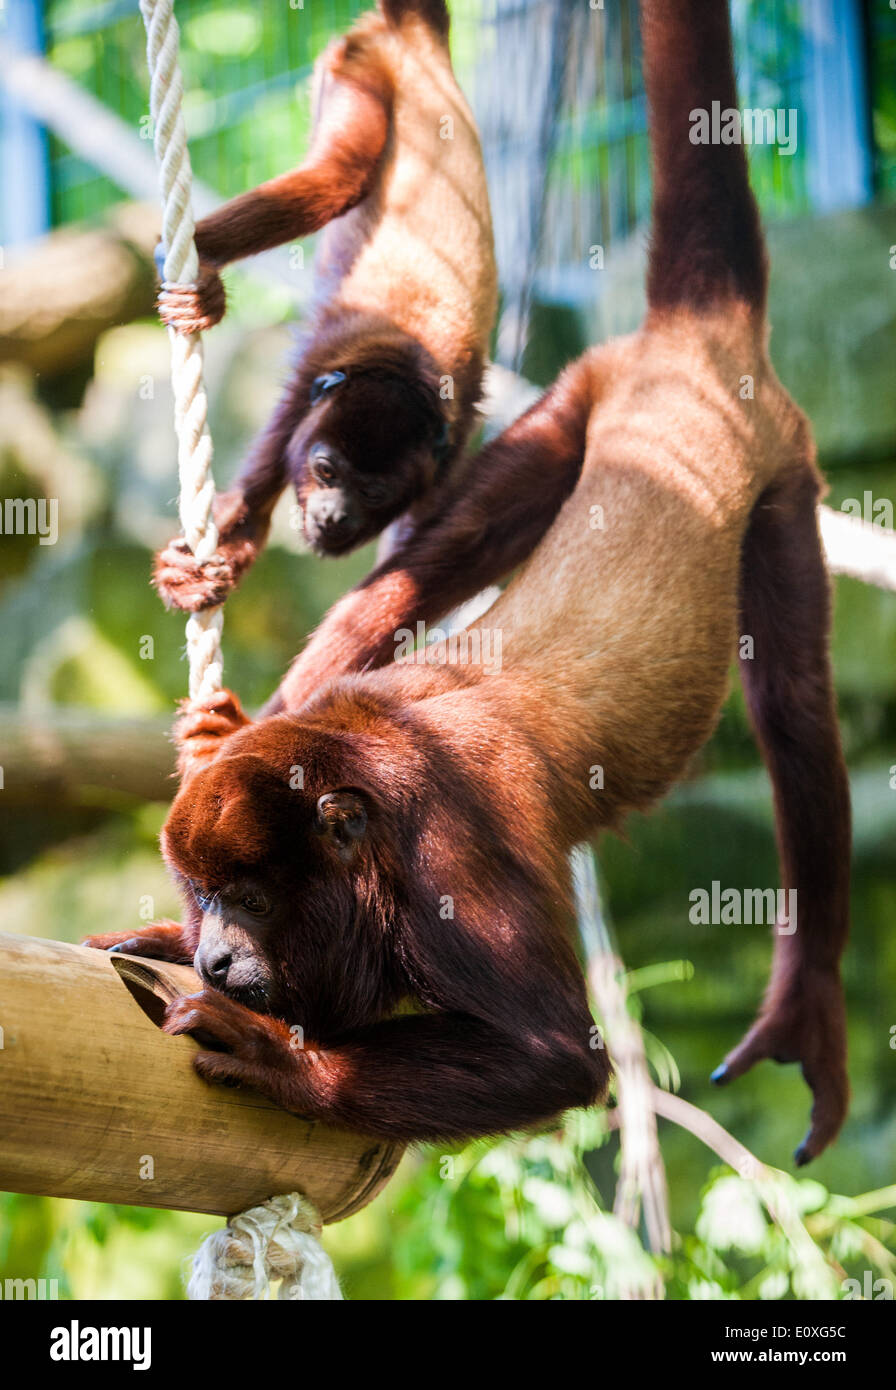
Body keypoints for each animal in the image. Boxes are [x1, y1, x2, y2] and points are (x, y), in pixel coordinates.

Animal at [152, 0, 497, 608]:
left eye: (375, 491)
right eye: (326, 471)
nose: (335, 517)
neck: (406, 365)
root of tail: (419, 40)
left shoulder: (450, 451)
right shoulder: (307, 393)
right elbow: (248, 511)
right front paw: (180, 575)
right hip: (363, 67)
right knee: (343, 171)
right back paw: (198, 268)